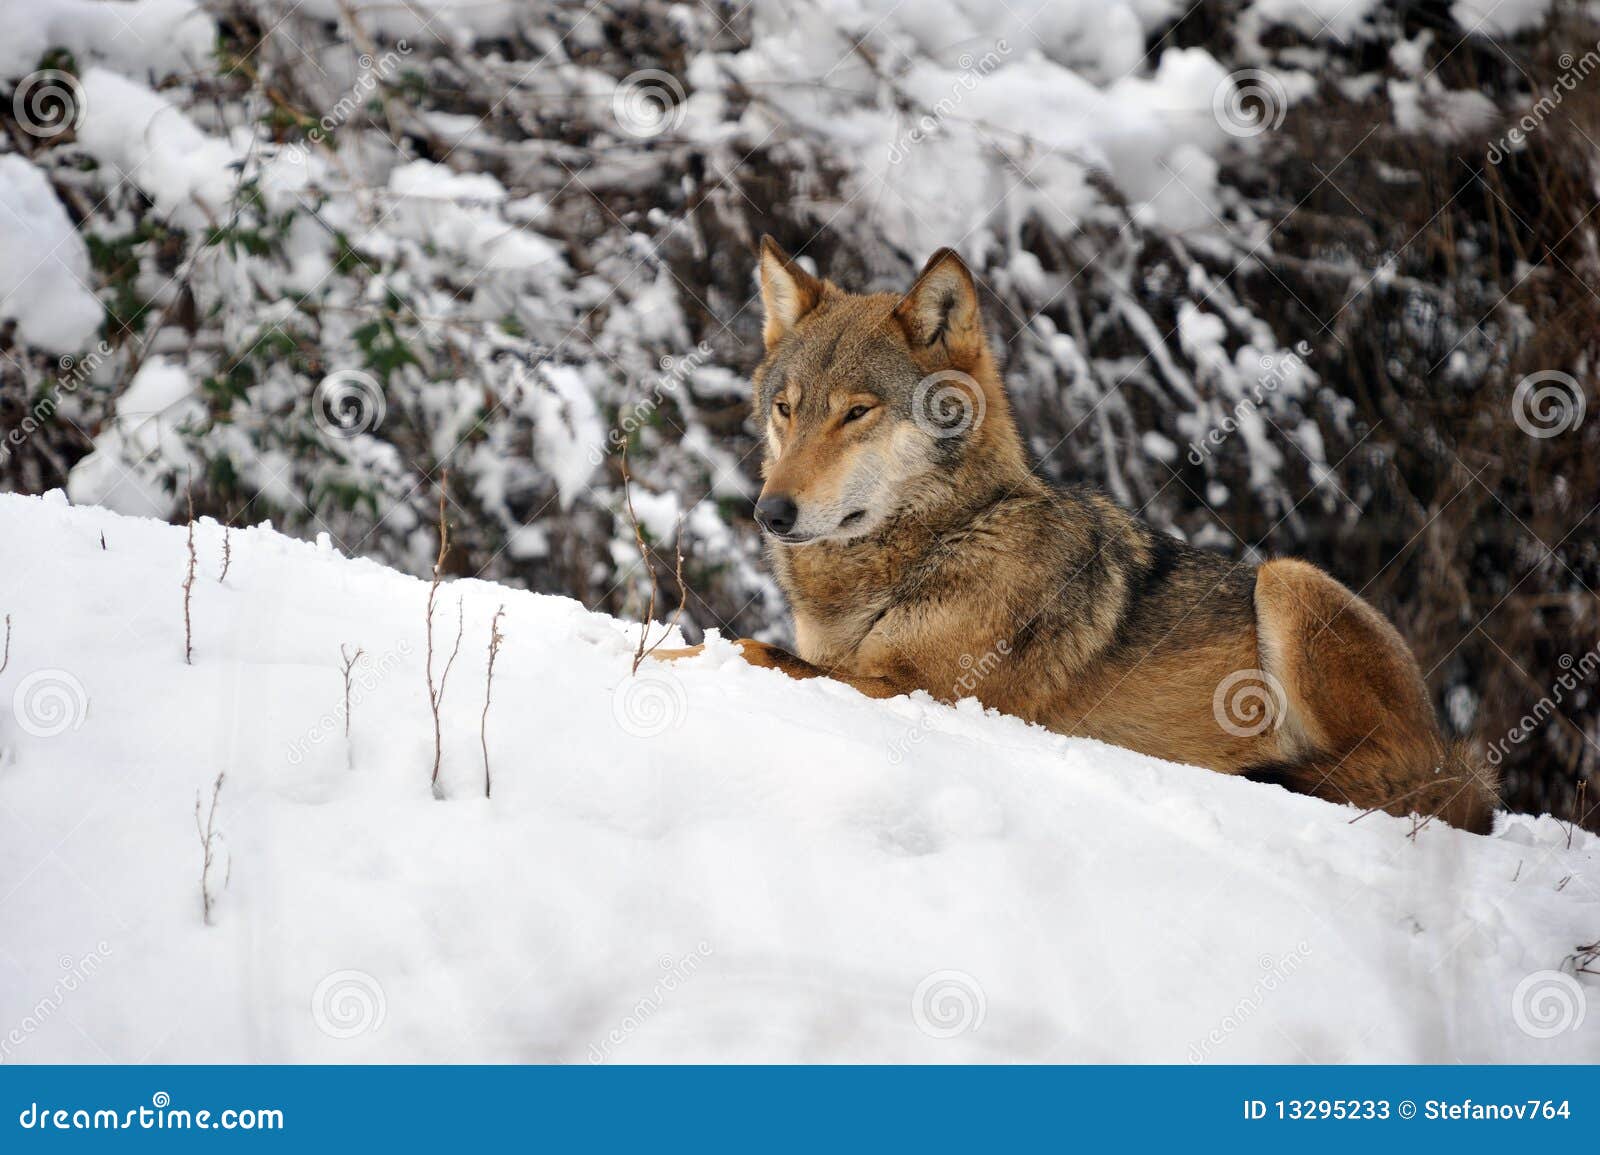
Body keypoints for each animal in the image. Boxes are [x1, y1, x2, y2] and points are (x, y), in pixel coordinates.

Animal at [659, 237, 1499, 833]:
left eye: (857, 412)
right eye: (788, 408)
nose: (771, 512)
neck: (944, 539)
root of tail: (1452, 751)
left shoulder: (924, 692)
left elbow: (760, 654)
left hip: (1289, 579)